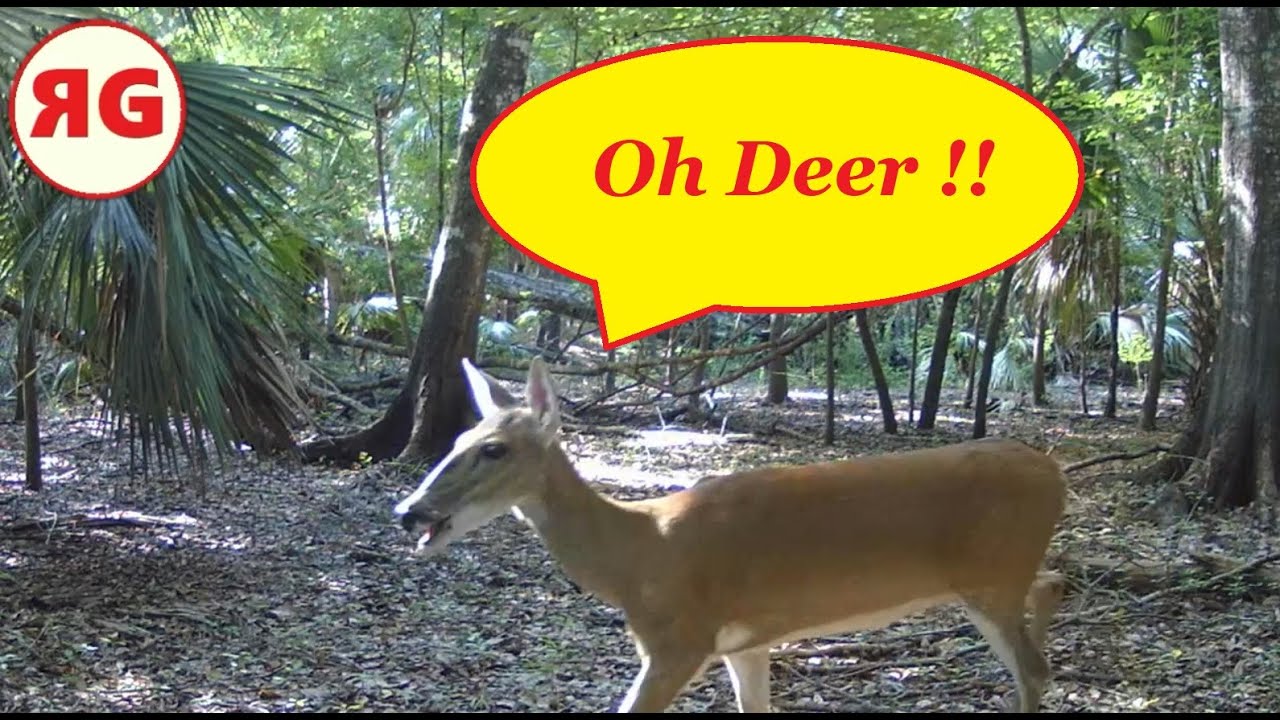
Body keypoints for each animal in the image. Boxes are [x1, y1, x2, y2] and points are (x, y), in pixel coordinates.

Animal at [394, 357, 1068, 713]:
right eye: (457, 438)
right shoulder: (745, 640)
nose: (409, 510)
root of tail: (1055, 471)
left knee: (1035, 668)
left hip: (989, 578)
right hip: (1004, 574)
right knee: (1053, 585)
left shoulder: (680, 640)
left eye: (494, 449)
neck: (637, 556)